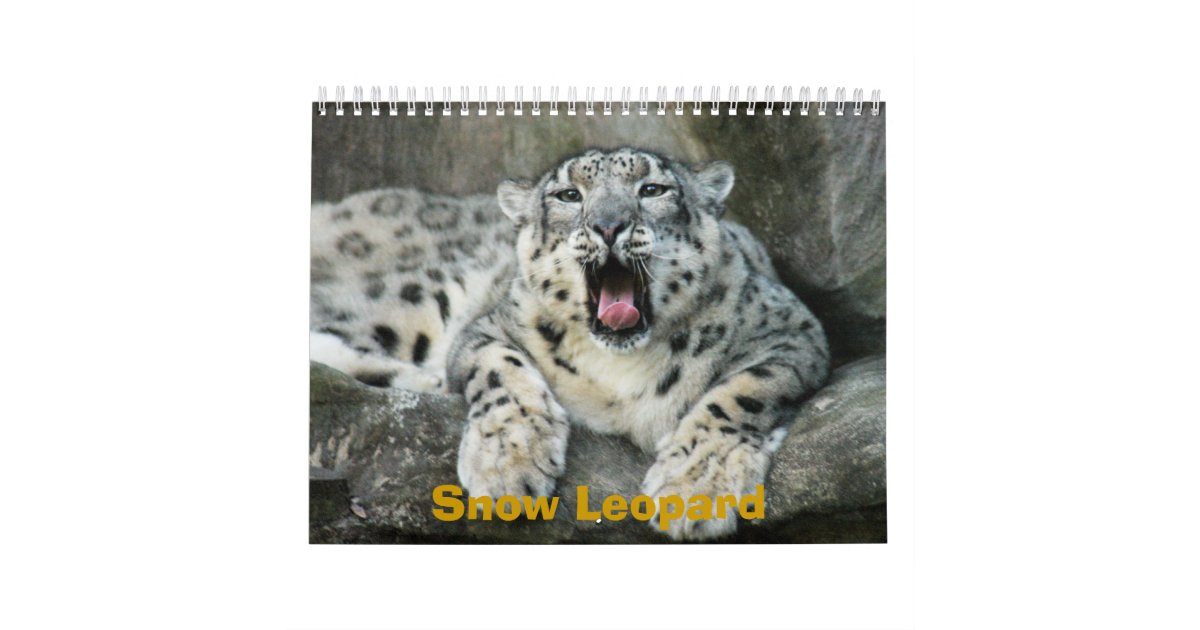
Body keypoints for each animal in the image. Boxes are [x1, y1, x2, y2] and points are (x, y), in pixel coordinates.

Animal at [310, 148, 830, 540]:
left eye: (652, 189)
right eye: (568, 195)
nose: (608, 225)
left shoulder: (792, 330)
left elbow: (742, 391)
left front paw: (693, 486)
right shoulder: (488, 327)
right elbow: (499, 368)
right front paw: (508, 463)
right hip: (407, 300)